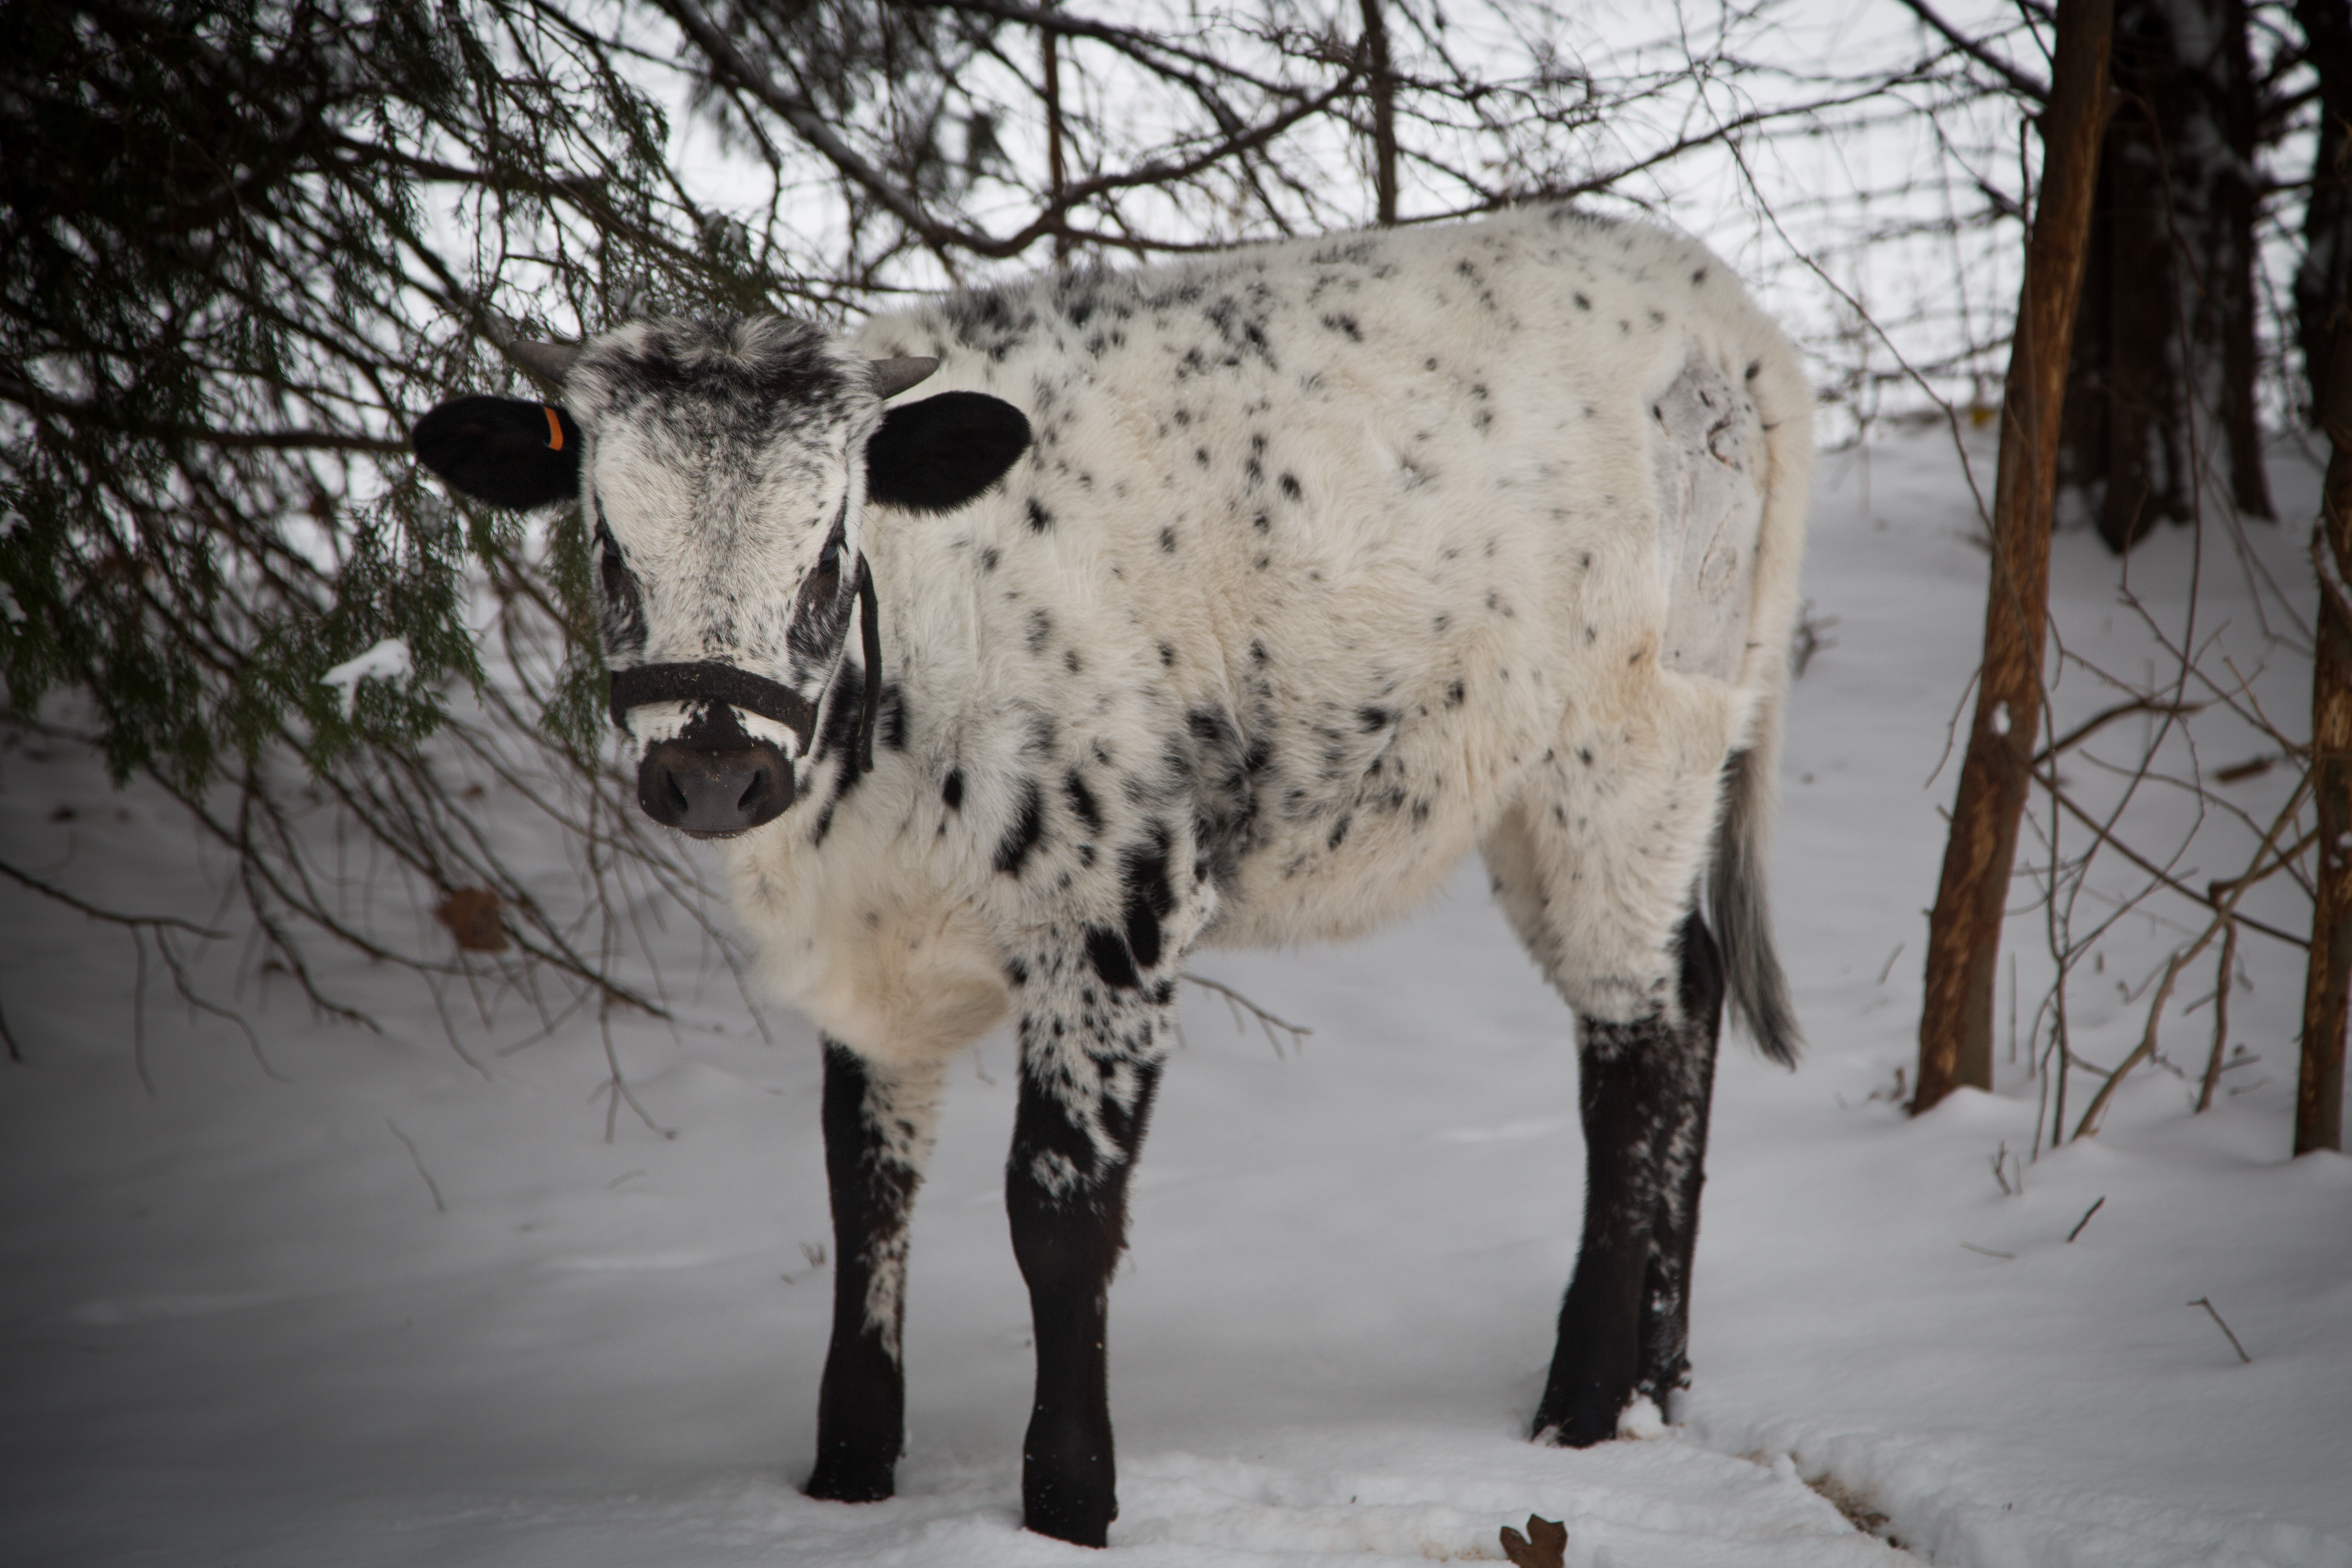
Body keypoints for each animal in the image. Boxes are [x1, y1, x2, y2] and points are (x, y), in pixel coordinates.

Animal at [411, 202, 1811, 1549]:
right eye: (608, 549)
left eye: (825, 552)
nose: (712, 774)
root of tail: (1729, 319)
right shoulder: (872, 963)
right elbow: (865, 1191)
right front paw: (848, 1478)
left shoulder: (1116, 918)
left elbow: (1059, 1217)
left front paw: (1069, 1504)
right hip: (1565, 796)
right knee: (1689, 993)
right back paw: (1660, 1379)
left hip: (1622, 760)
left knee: (1635, 1050)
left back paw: (1584, 1404)